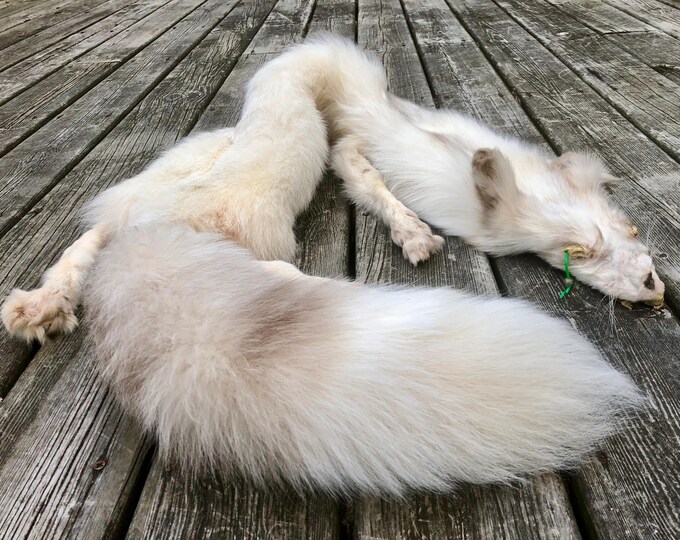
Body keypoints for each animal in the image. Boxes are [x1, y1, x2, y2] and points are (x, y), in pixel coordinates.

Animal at [2, 36, 642, 494]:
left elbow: (369, 171)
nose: (654, 289)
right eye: (584, 252)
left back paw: (40, 306)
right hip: (234, 222)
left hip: (152, 199)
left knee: (91, 238)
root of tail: (156, 233)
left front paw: (412, 224)